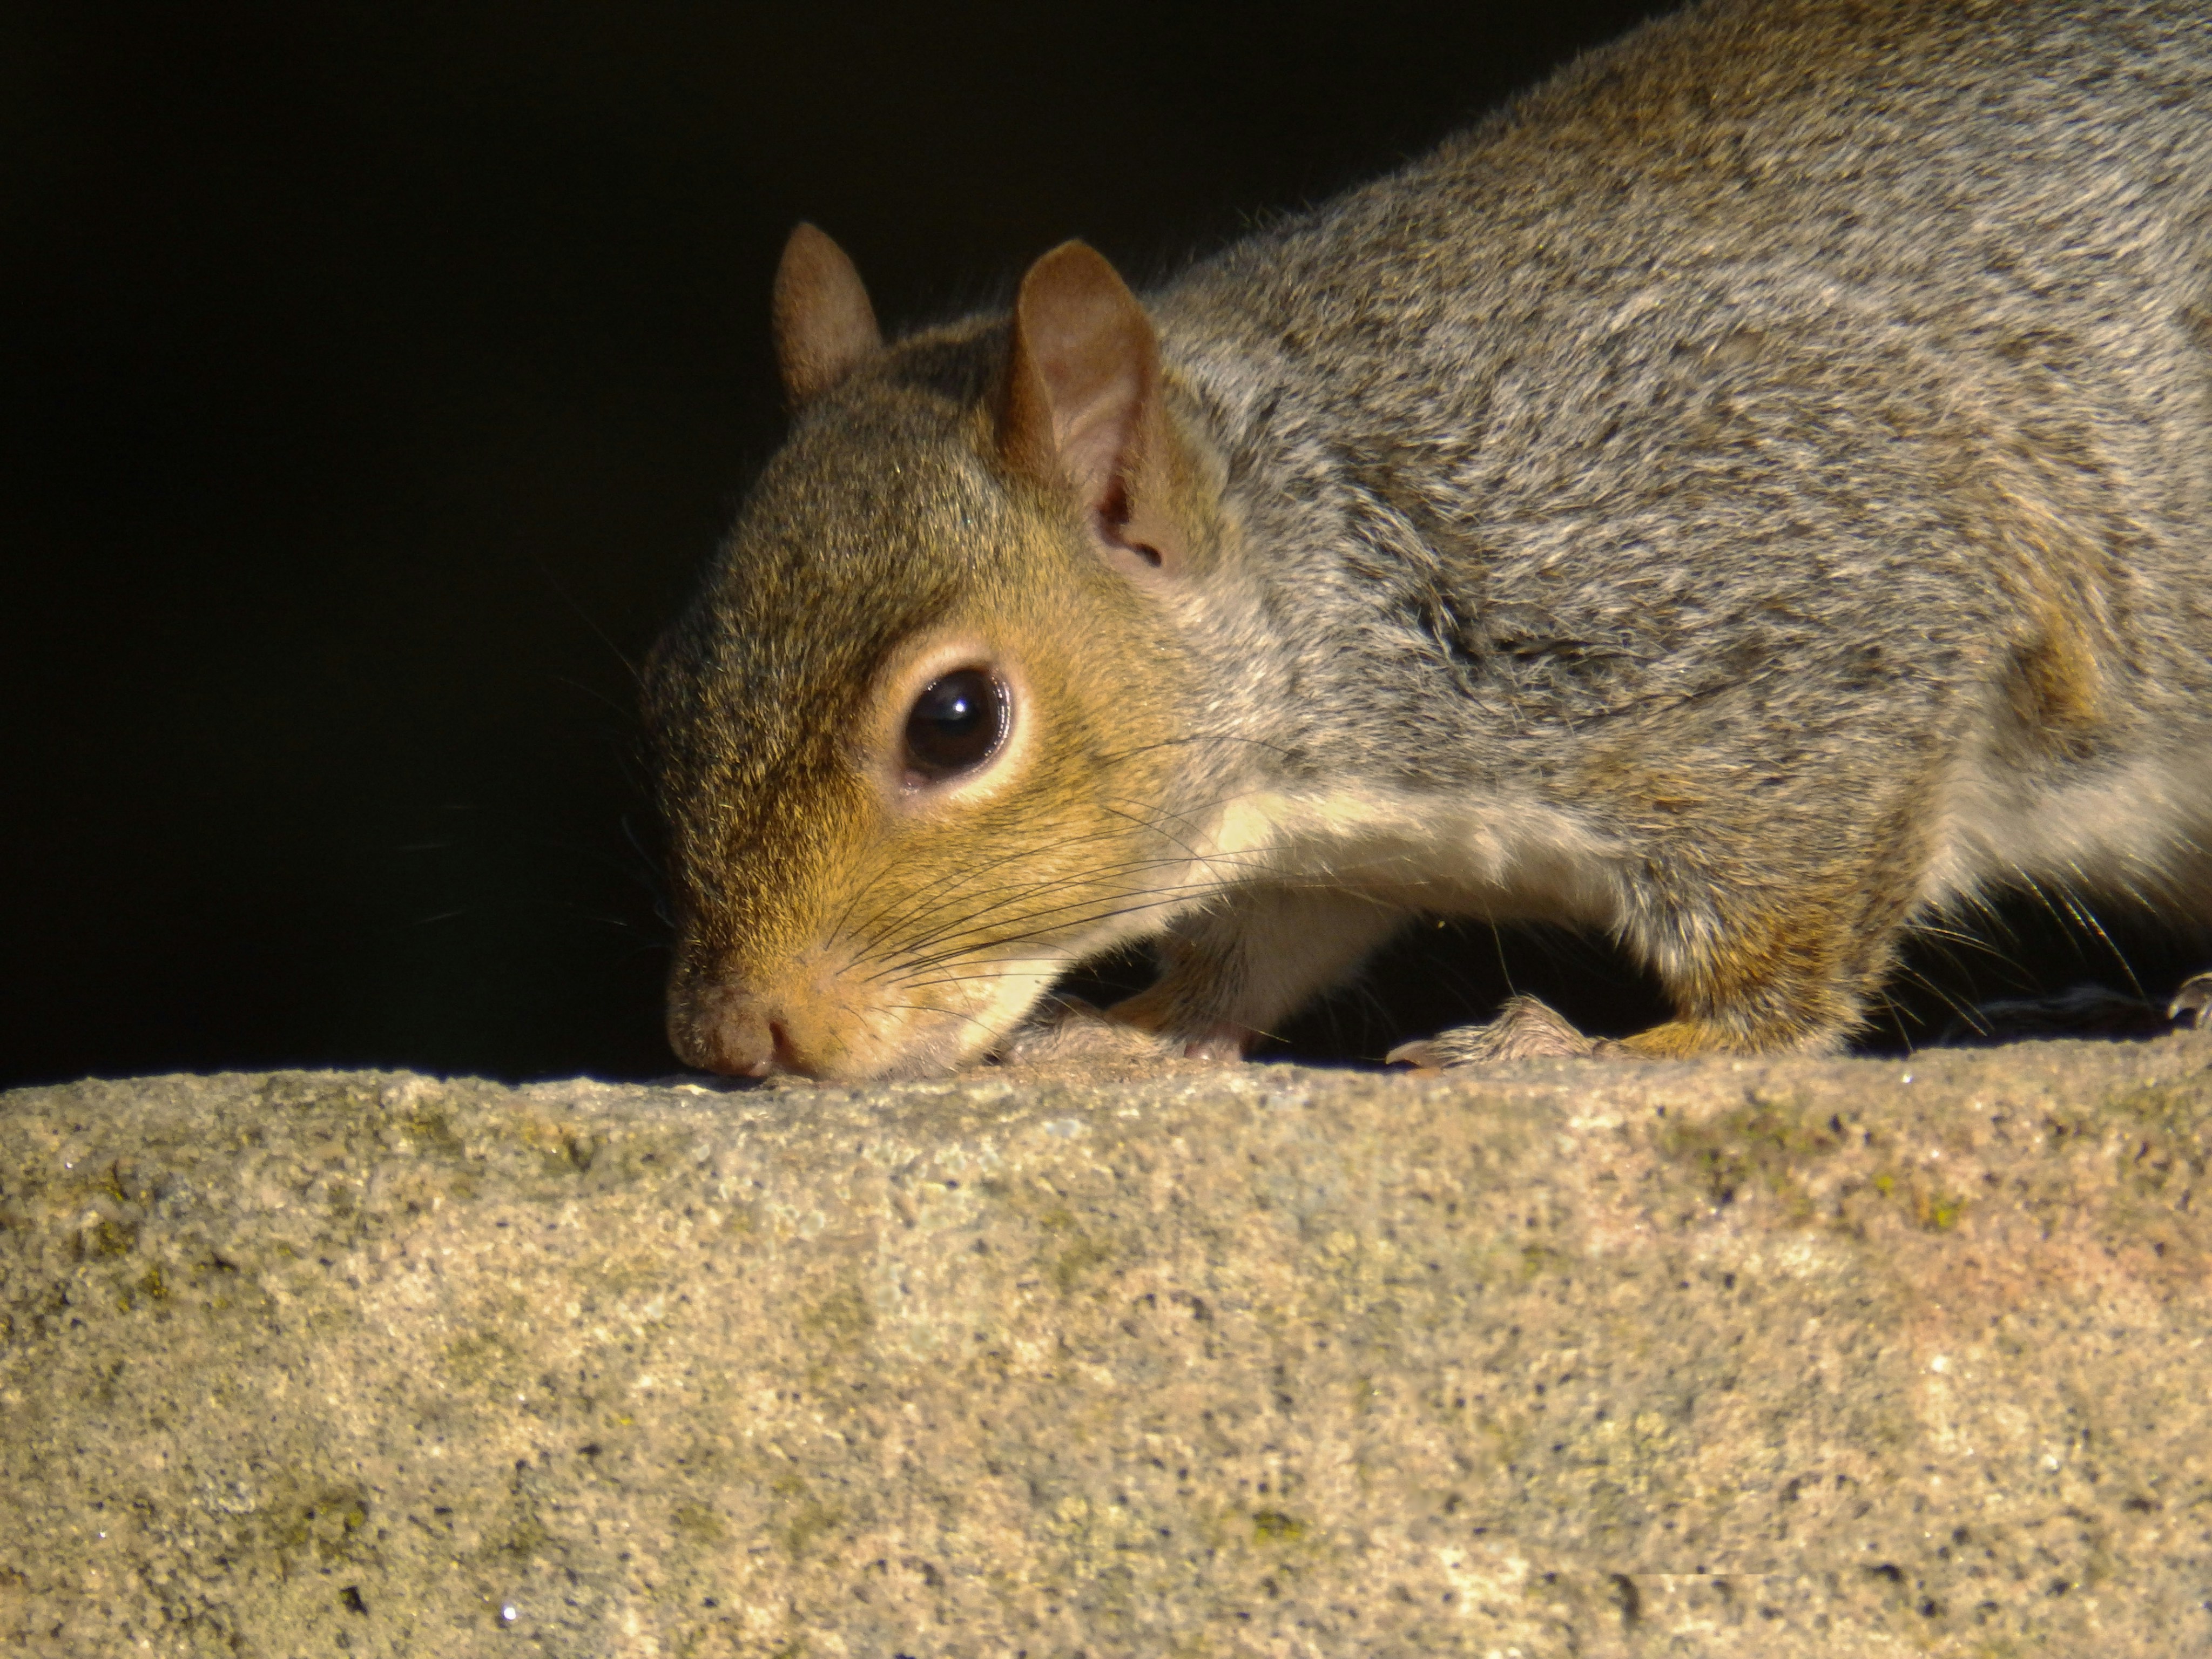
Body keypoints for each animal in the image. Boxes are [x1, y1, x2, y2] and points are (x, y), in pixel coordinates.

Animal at [644, 0, 2212, 1082]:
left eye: (957, 720)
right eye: (669, 690)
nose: (728, 1035)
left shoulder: (1807, 594)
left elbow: (1788, 956)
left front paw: (1610, 1058)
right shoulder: (1323, 862)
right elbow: (1253, 960)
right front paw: (1131, 1029)